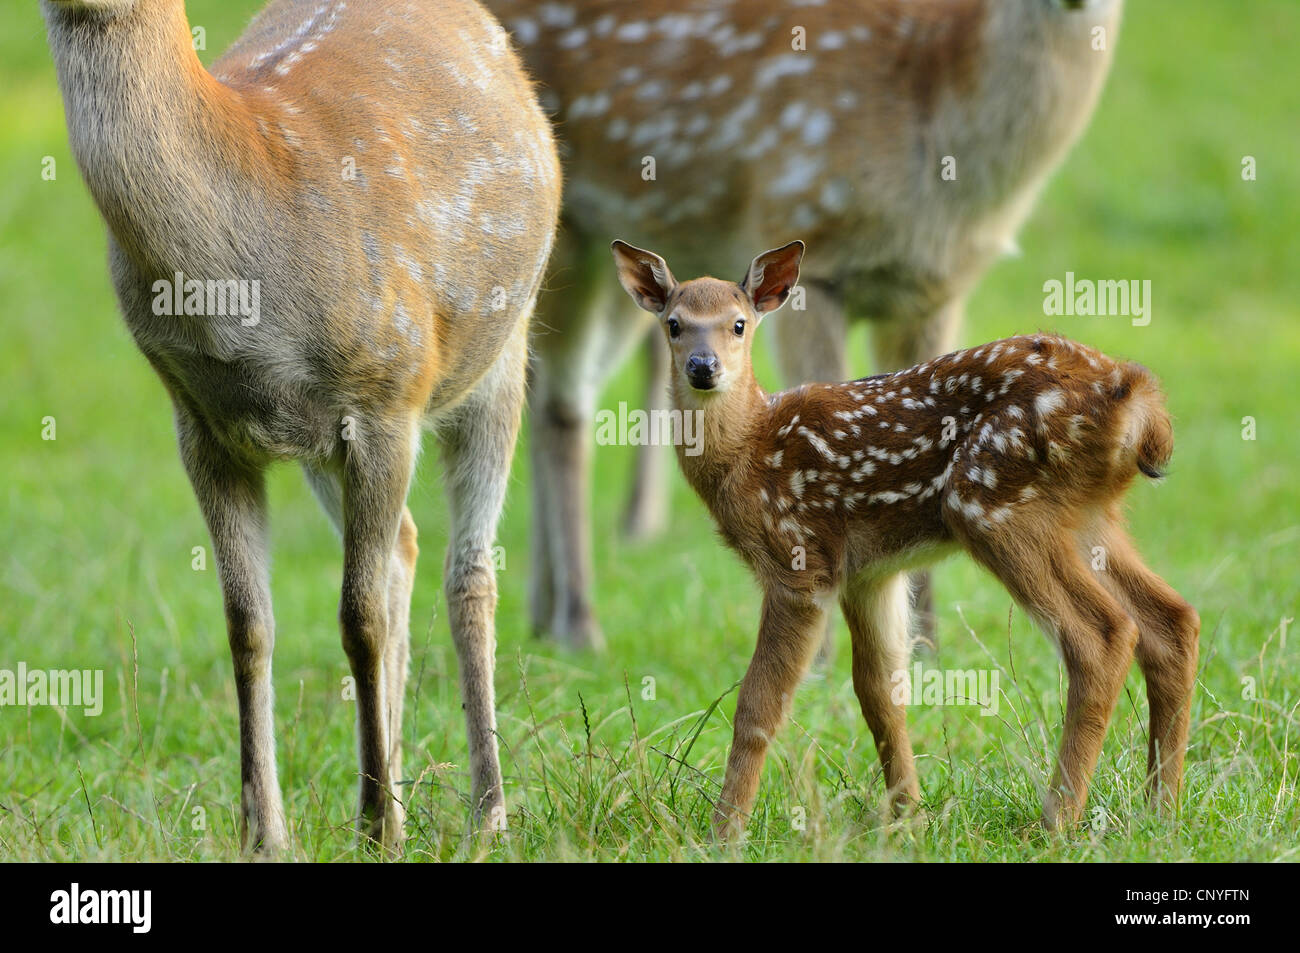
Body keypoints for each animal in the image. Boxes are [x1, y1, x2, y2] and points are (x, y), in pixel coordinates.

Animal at [41, 0, 561, 854]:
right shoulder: (200, 424)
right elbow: (248, 624)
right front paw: (265, 831)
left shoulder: (385, 393)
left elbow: (359, 619)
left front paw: (380, 828)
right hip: (326, 448)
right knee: (405, 547)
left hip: (500, 350)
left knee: (470, 574)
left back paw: (487, 813)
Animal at [485, 0, 1126, 652]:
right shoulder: (807, 238)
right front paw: (824, 653)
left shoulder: (932, 289)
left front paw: (925, 648)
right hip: (559, 235)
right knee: (561, 403)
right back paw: (578, 623)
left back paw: (542, 614)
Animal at [610, 239, 1199, 838]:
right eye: (674, 324)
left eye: (738, 324)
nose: (703, 368)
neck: (749, 451)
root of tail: (1140, 403)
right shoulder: (868, 574)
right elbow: (880, 694)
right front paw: (907, 818)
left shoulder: (800, 560)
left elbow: (759, 706)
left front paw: (723, 832)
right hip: (1089, 518)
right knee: (1172, 621)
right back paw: (1161, 812)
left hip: (995, 504)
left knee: (1102, 637)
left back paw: (1055, 821)